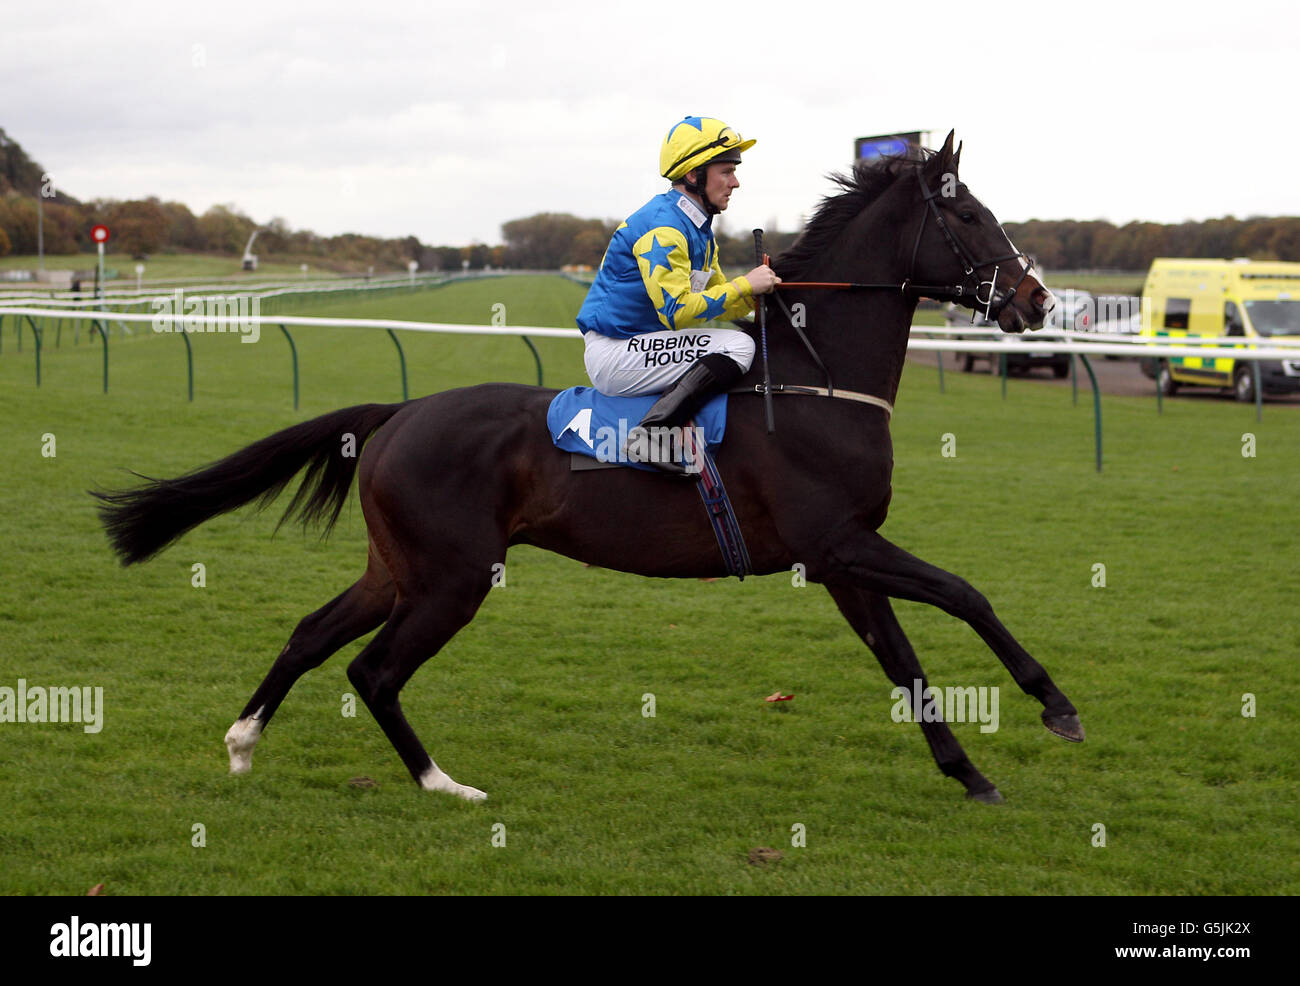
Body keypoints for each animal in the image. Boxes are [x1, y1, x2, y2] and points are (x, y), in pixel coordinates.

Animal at [93, 132, 1082, 804]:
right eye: (968, 214)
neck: (812, 381)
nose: (1035, 300)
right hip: (454, 576)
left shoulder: (839, 557)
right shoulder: (838, 542)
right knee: (373, 671)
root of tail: (399, 413)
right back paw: (444, 784)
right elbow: (963, 595)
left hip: (399, 567)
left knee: (310, 634)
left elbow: (904, 658)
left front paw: (970, 771)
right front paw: (1053, 704)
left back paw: (244, 741)